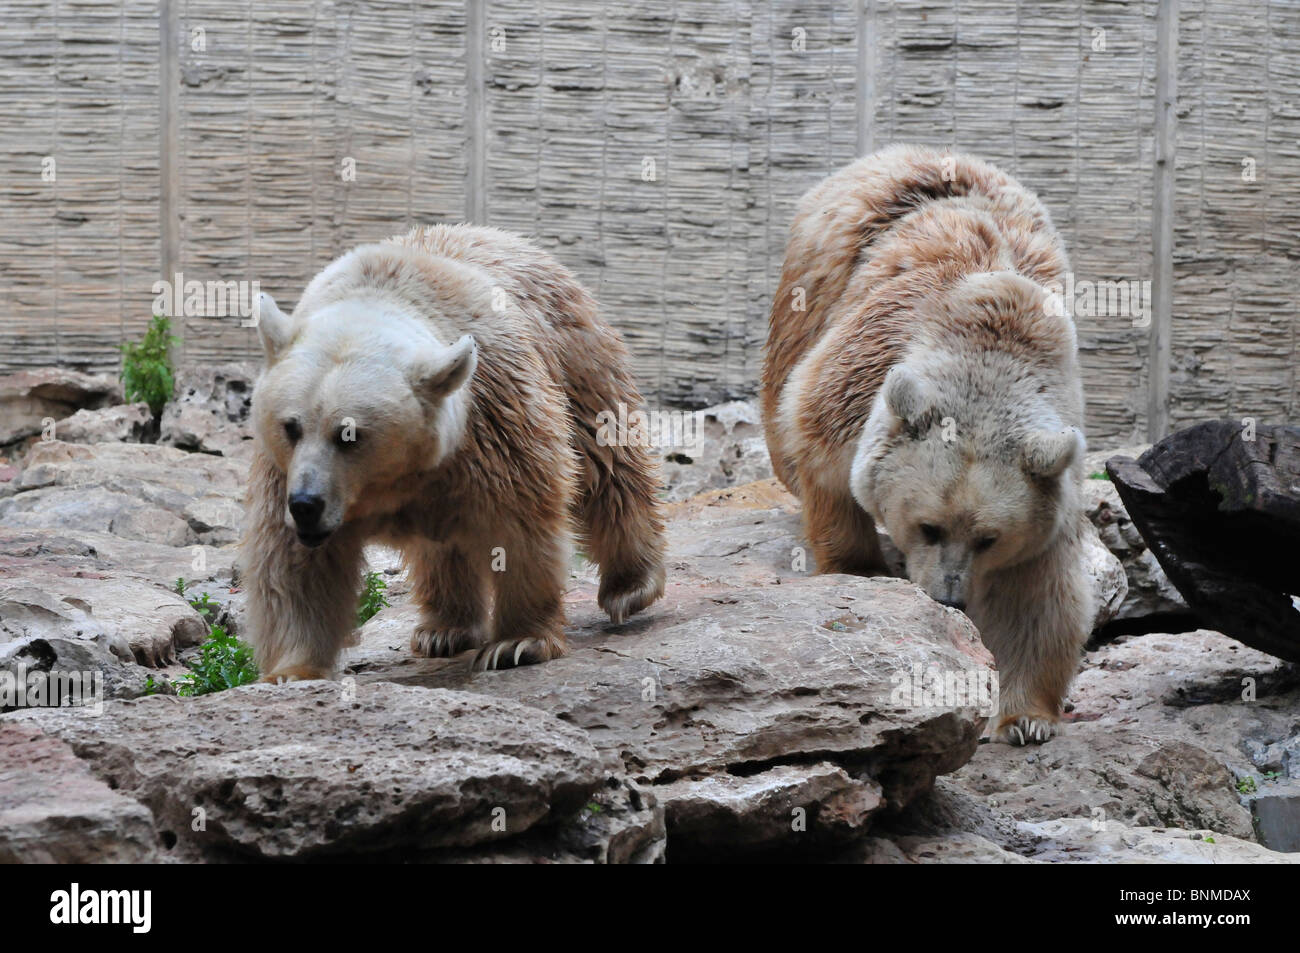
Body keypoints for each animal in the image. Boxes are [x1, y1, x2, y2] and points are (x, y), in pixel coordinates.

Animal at [241, 223, 667, 680]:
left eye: (349, 436)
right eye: (291, 426)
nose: (307, 504)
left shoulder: (492, 420)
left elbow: (519, 524)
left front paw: (517, 643)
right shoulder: (282, 471)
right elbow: (296, 565)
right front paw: (291, 670)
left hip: (575, 358)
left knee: (609, 467)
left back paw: (631, 586)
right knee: (443, 546)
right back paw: (444, 630)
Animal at [760, 144, 1094, 745]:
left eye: (988, 538)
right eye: (928, 526)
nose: (948, 597)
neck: (993, 339)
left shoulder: (1053, 477)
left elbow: (1036, 595)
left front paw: (1025, 717)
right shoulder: (860, 373)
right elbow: (819, 452)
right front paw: (860, 569)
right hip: (814, 280)